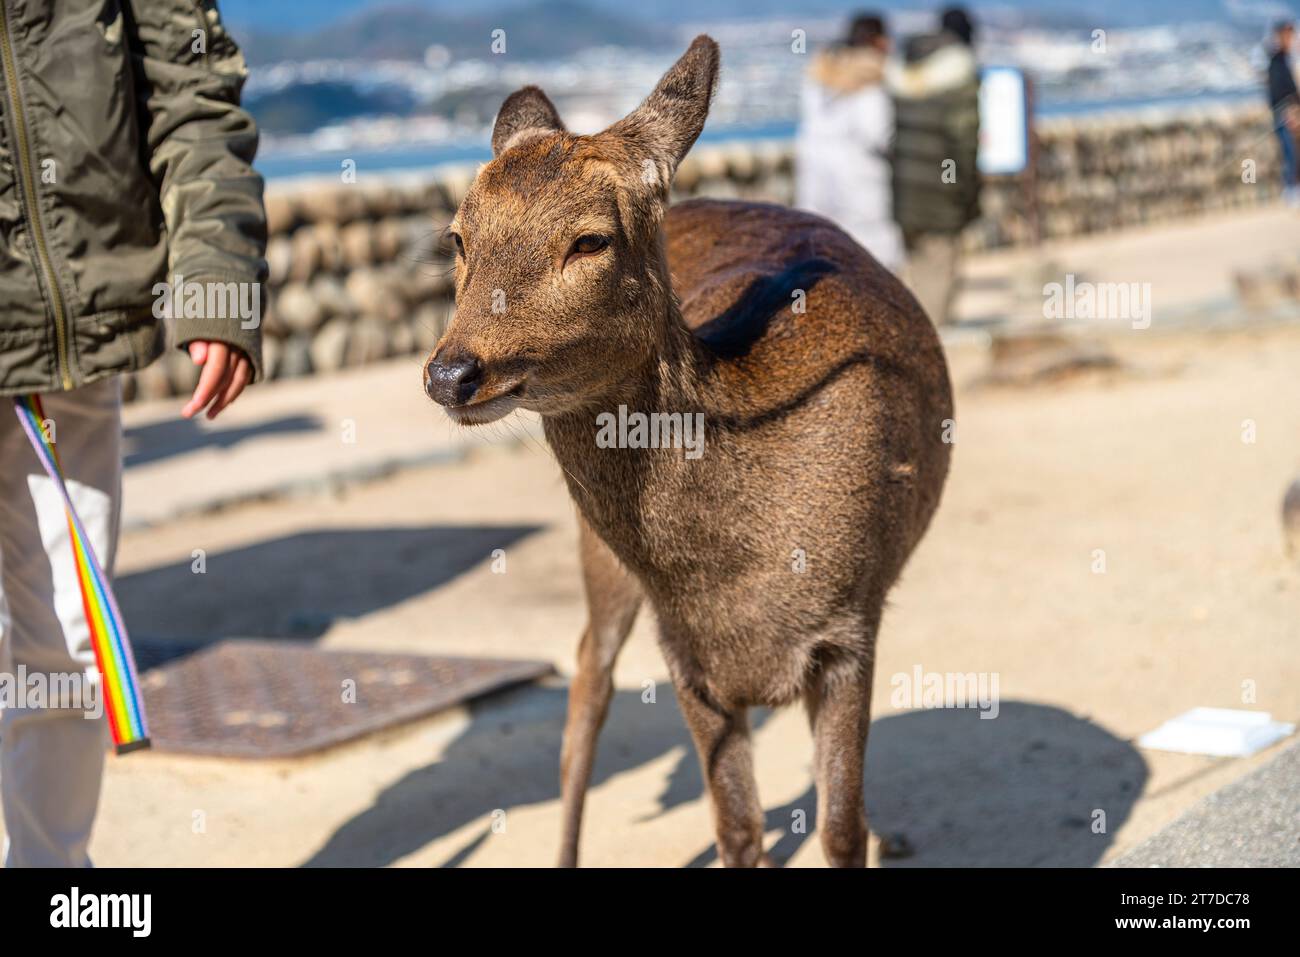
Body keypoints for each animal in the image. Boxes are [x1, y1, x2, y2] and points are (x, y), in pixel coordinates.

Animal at [423, 36, 953, 867]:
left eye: (590, 239)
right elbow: (737, 829)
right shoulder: (687, 658)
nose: (451, 372)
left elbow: (840, 825)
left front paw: (869, 830)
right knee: (587, 682)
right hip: (597, 554)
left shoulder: (851, 626)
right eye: (458, 238)